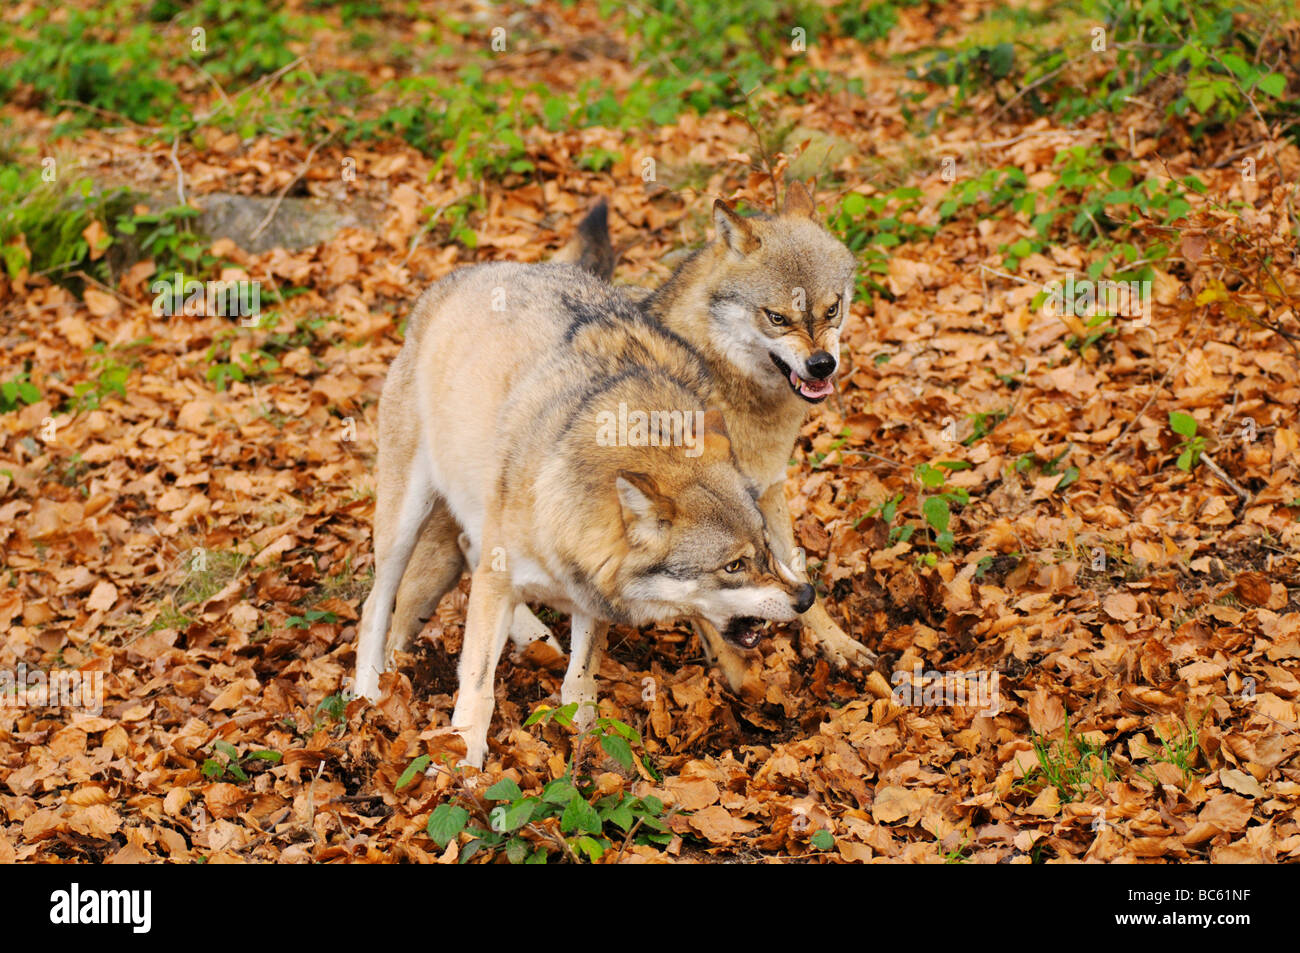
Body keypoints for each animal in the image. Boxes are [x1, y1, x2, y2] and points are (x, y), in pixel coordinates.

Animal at [352, 262, 814, 767]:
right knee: (377, 603)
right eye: (733, 566)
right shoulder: (506, 574)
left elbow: (580, 682)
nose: (807, 596)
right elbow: (478, 688)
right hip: (405, 519)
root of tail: (457, 276)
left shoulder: (589, 594)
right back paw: (367, 692)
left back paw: (536, 639)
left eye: (767, 548)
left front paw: (585, 745)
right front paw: (463, 763)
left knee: (468, 547)